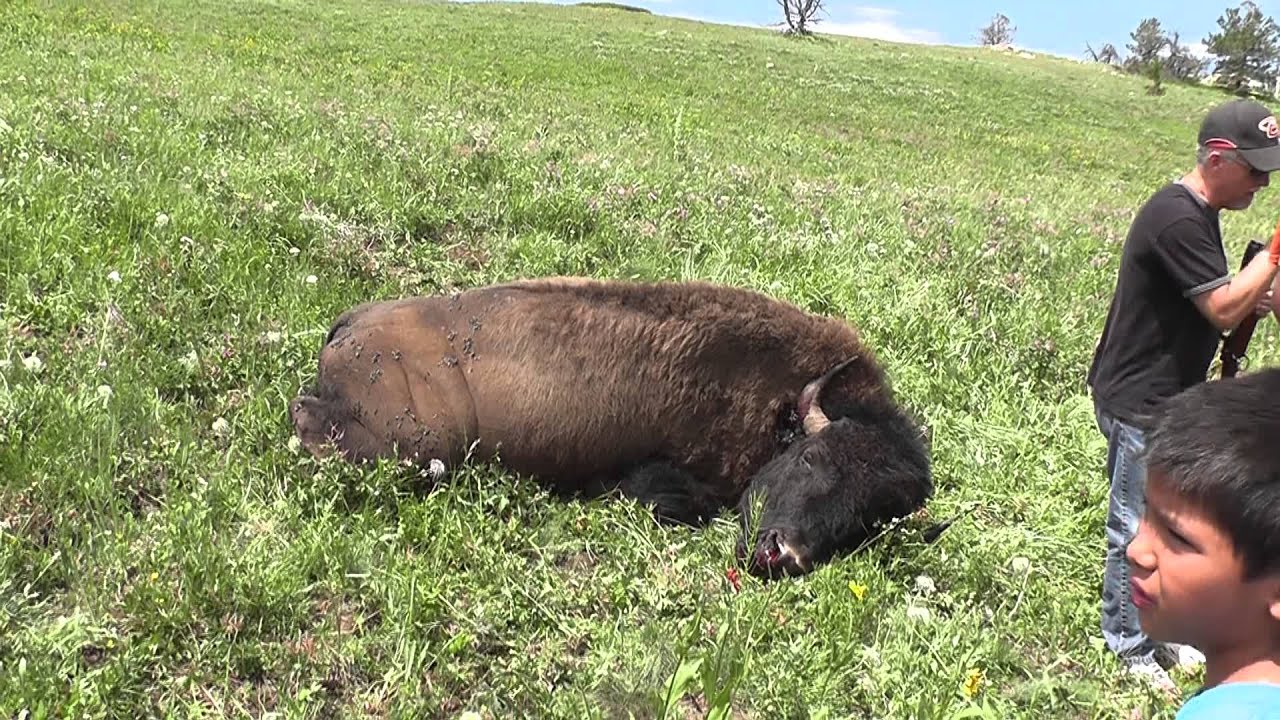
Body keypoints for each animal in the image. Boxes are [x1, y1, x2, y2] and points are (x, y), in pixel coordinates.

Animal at [289, 276, 933, 577]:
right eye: (810, 458)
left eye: (872, 520)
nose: (785, 554)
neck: (781, 400)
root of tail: (351, 320)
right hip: (412, 443)